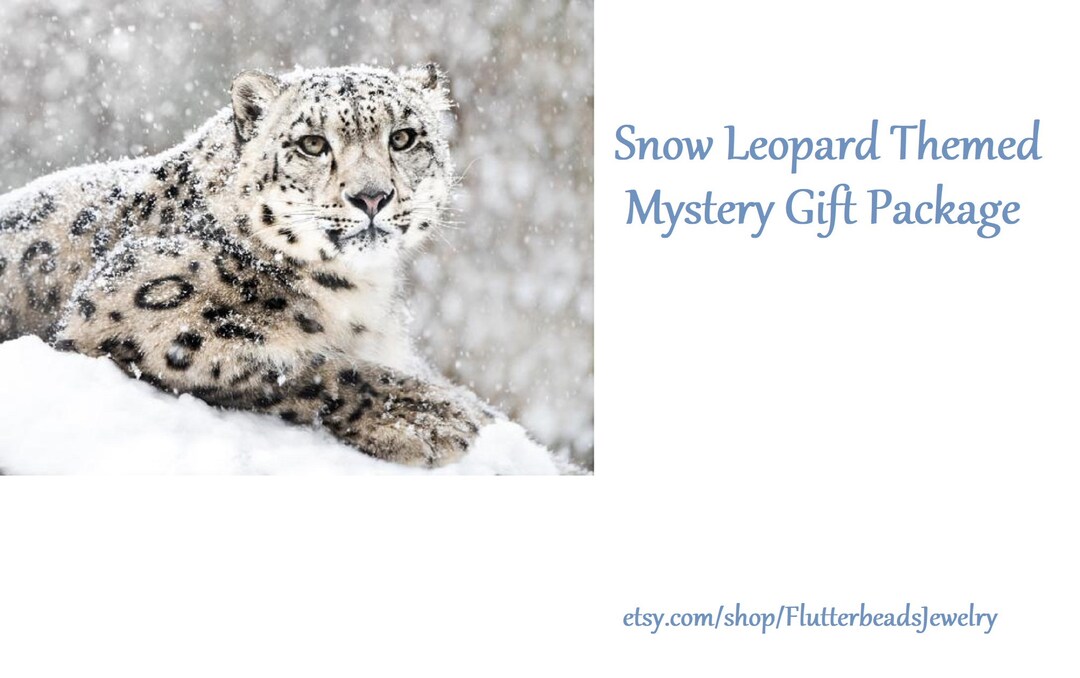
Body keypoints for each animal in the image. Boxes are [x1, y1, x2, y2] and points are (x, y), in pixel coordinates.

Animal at [0, 63, 500, 468]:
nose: (372, 196)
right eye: (313, 143)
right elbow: (296, 364)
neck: (360, 292)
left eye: (403, 137)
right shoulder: (134, 304)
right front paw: (430, 417)